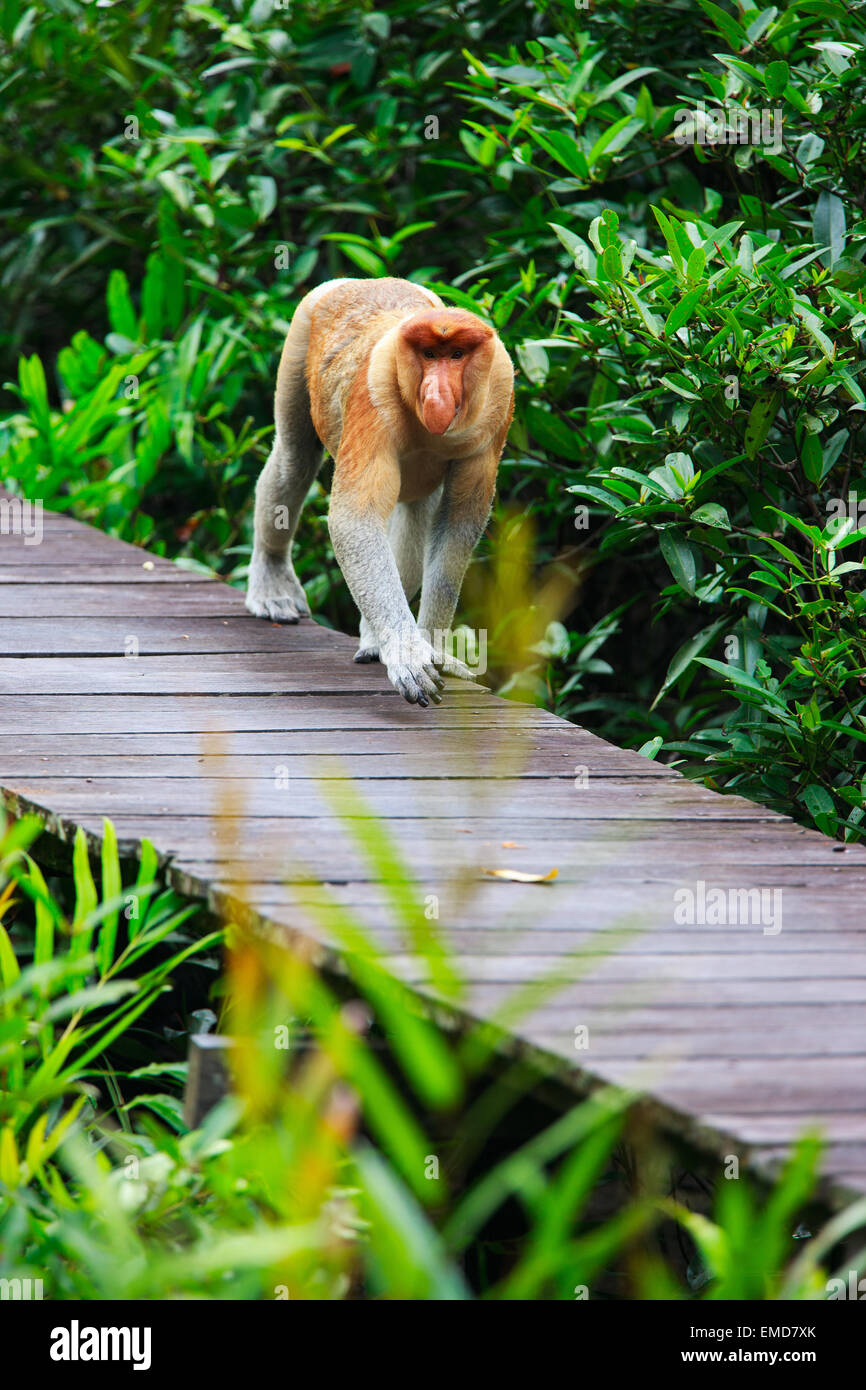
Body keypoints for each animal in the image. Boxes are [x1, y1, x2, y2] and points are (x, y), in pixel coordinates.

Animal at [245, 277, 514, 707]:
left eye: (456, 355)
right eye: (429, 355)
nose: (436, 394)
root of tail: (360, 282)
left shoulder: (497, 402)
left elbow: (458, 524)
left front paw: (434, 650)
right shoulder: (374, 396)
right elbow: (356, 518)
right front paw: (408, 656)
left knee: (416, 510)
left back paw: (374, 639)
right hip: (303, 327)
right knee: (294, 457)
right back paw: (272, 588)